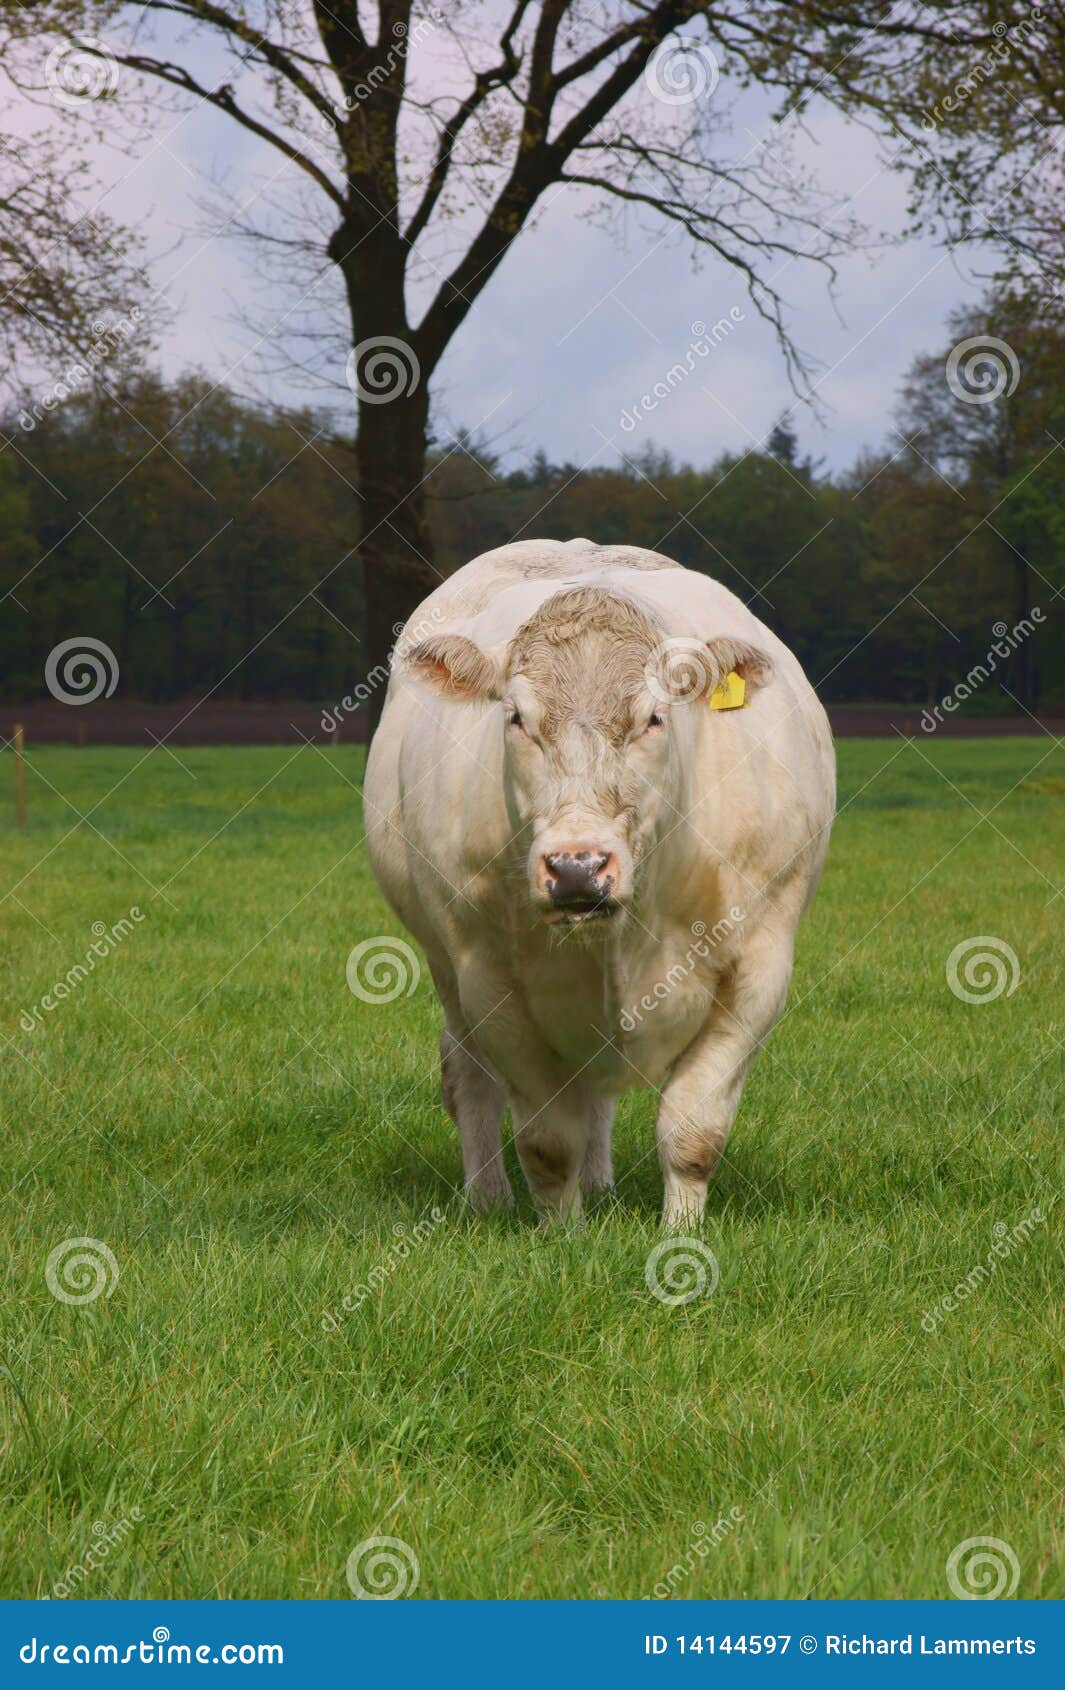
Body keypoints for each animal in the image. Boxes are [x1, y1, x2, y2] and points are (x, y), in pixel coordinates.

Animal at [364, 539, 835, 1225]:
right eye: (516, 717)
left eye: (655, 717)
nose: (577, 868)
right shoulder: (488, 981)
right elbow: (547, 1140)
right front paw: (564, 1235)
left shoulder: (759, 968)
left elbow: (693, 1131)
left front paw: (681, 1231)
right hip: (446, 966)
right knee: (469, 1078)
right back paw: (488, 1200)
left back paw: (599, 1185)